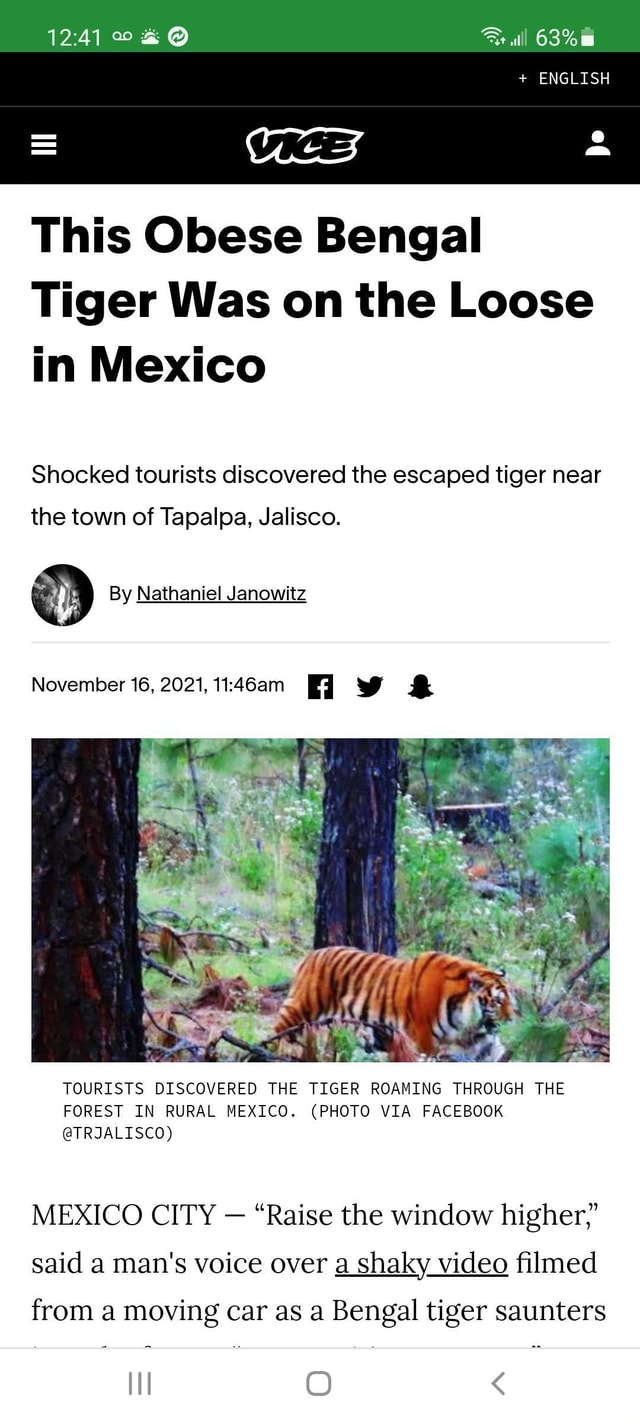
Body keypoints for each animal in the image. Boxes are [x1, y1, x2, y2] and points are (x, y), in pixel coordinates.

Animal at [273, 947, 515, 1058]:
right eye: (496, 1002)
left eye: (510, 1001)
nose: (512, 1019)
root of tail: (311, 955)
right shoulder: (423, 1037)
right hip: (302, 1005)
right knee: (279, 1030)